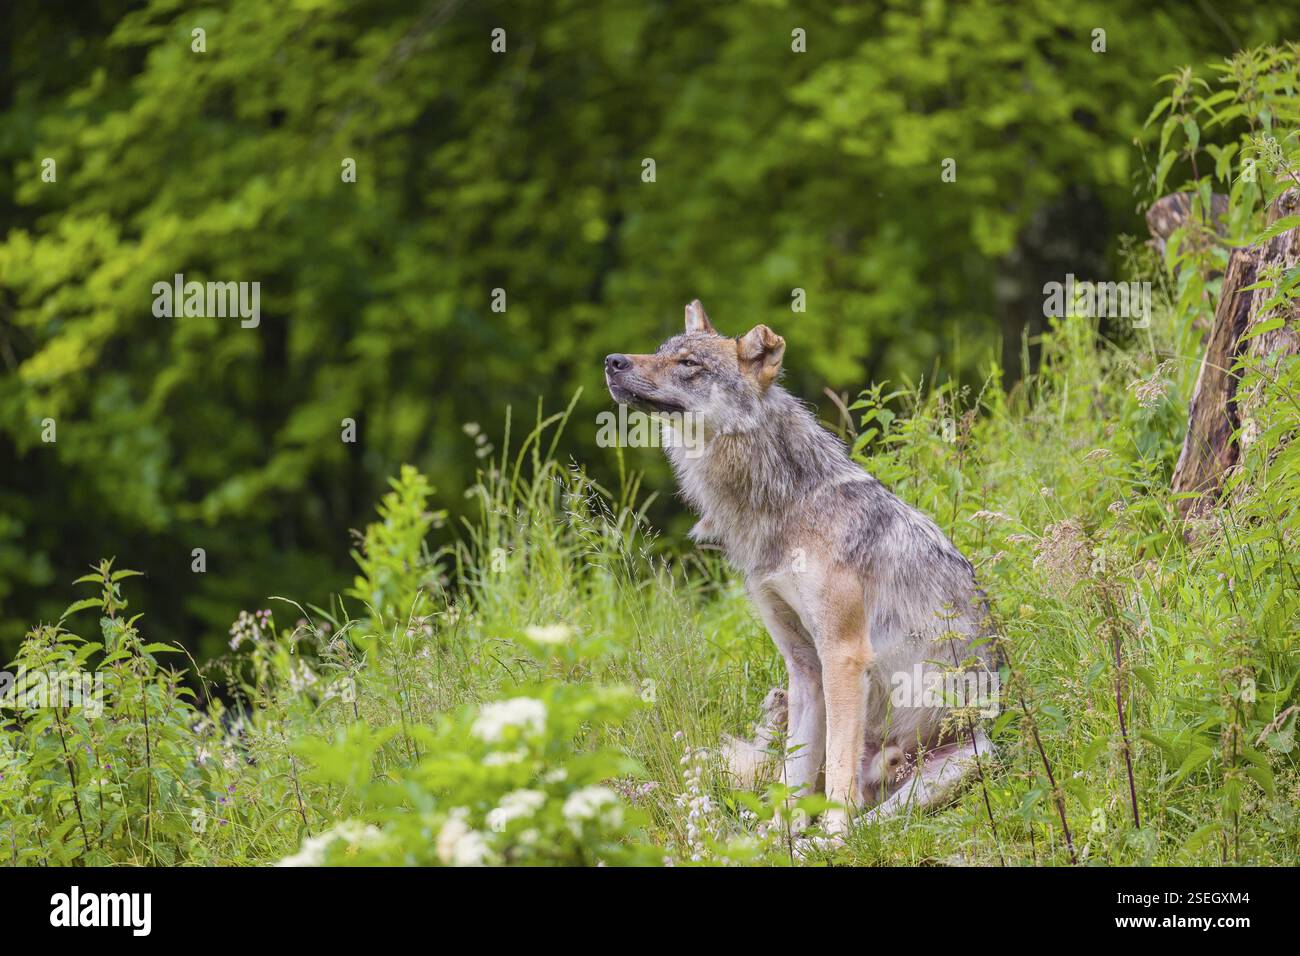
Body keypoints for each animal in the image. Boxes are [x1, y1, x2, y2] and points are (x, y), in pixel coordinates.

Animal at [604, 300, 999, 835]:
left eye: (688, 363)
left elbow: (836, 780)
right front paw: (773, 840)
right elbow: (793, 776)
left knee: (873, 816)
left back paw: (835, 839)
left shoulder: (843, 655)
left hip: (972, 759)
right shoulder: (805, 669)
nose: (612, 361)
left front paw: (828, 839)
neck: (786, 508)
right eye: (661, 350)